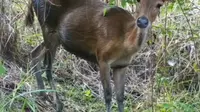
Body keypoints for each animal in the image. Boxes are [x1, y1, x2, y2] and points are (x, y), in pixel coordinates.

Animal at [25, 0, 171, 111]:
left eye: (159, 5)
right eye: (138, 1)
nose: (142, 21)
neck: (125, 43)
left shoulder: (122, 65)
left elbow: (120, 96)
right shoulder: (102, 58)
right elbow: (108, 95)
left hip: (55, 37)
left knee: (34, 53)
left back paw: (42, 93)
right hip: (48, 26)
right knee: (48, 68)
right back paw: (58, 104)